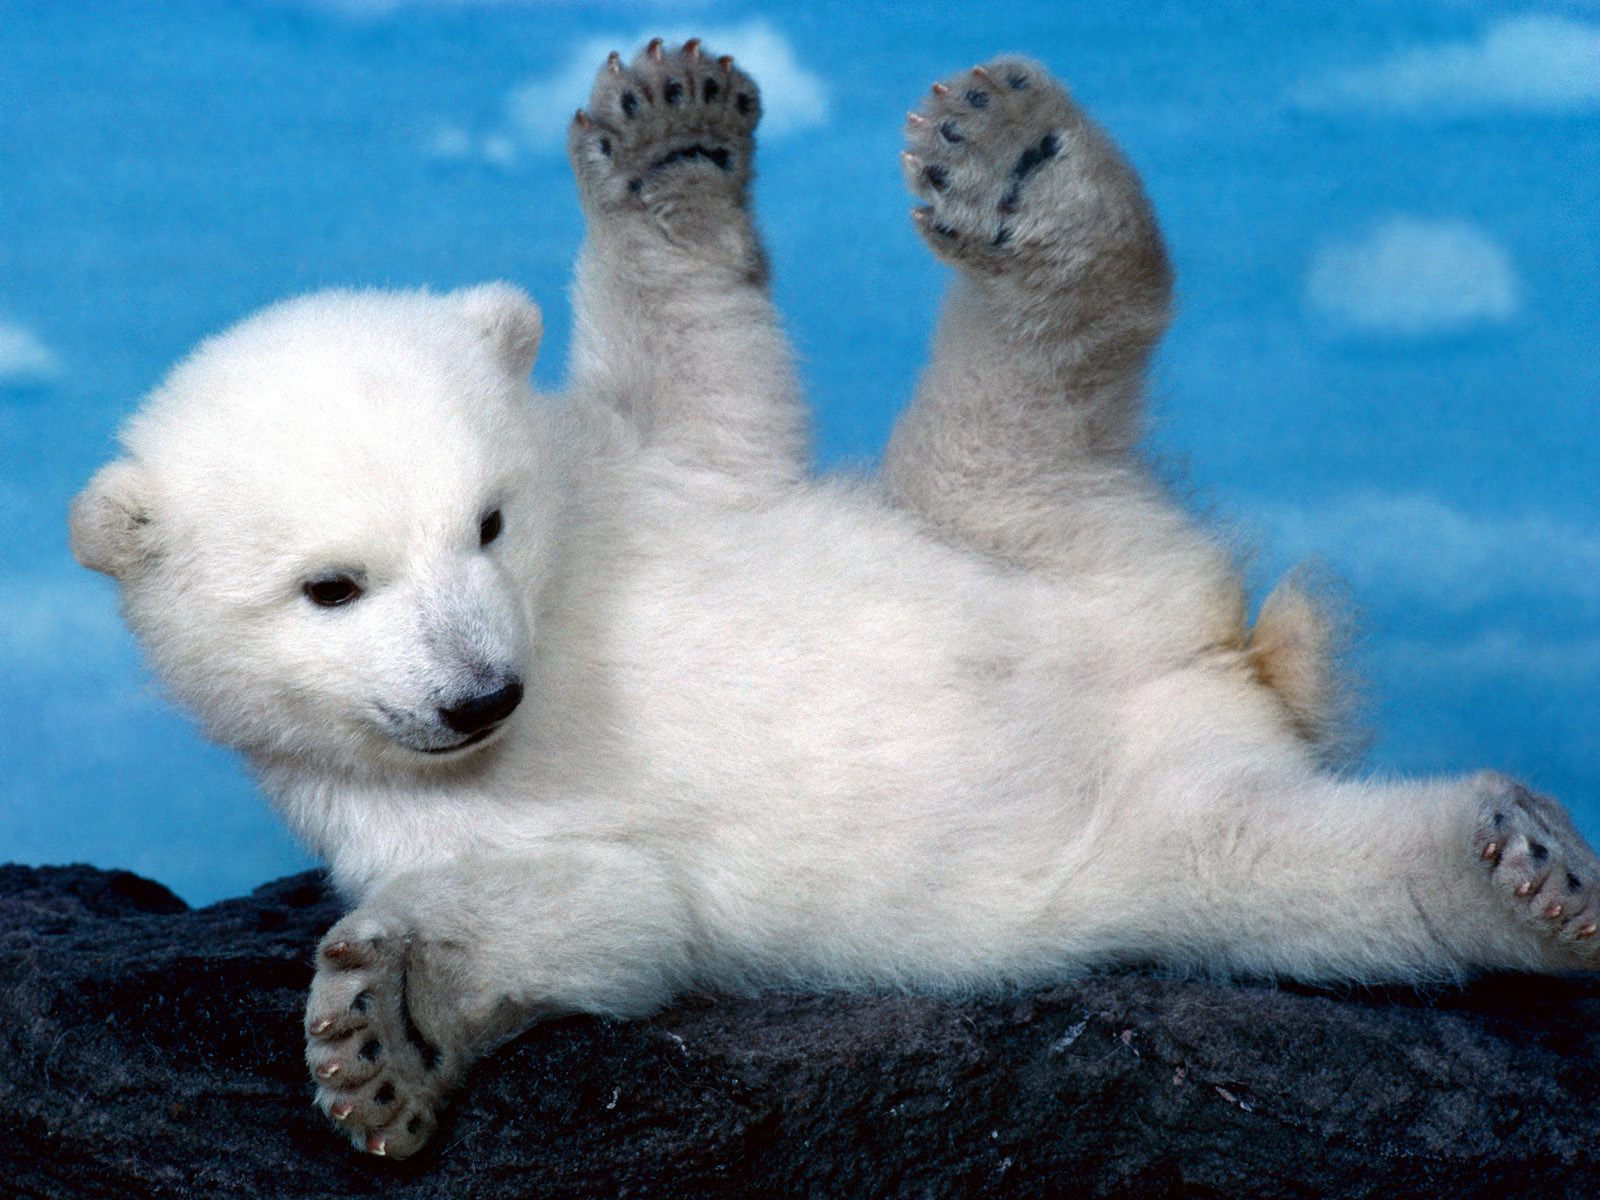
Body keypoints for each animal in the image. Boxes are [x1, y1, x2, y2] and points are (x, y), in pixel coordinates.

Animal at [70, 41, 1600, 1160]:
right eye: (329, 588)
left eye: (489, 522)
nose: (480, 694)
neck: (557, 632)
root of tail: (1216, 655)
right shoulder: (394, 804)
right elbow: (600, 909)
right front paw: (388, 1024)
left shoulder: (649, 486)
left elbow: (710, 386)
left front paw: (669, 135)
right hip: (1149, 817)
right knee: (1312, 882)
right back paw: (1521, 867)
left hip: (1010, 533)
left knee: (1033, 381)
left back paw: (1019, 159)